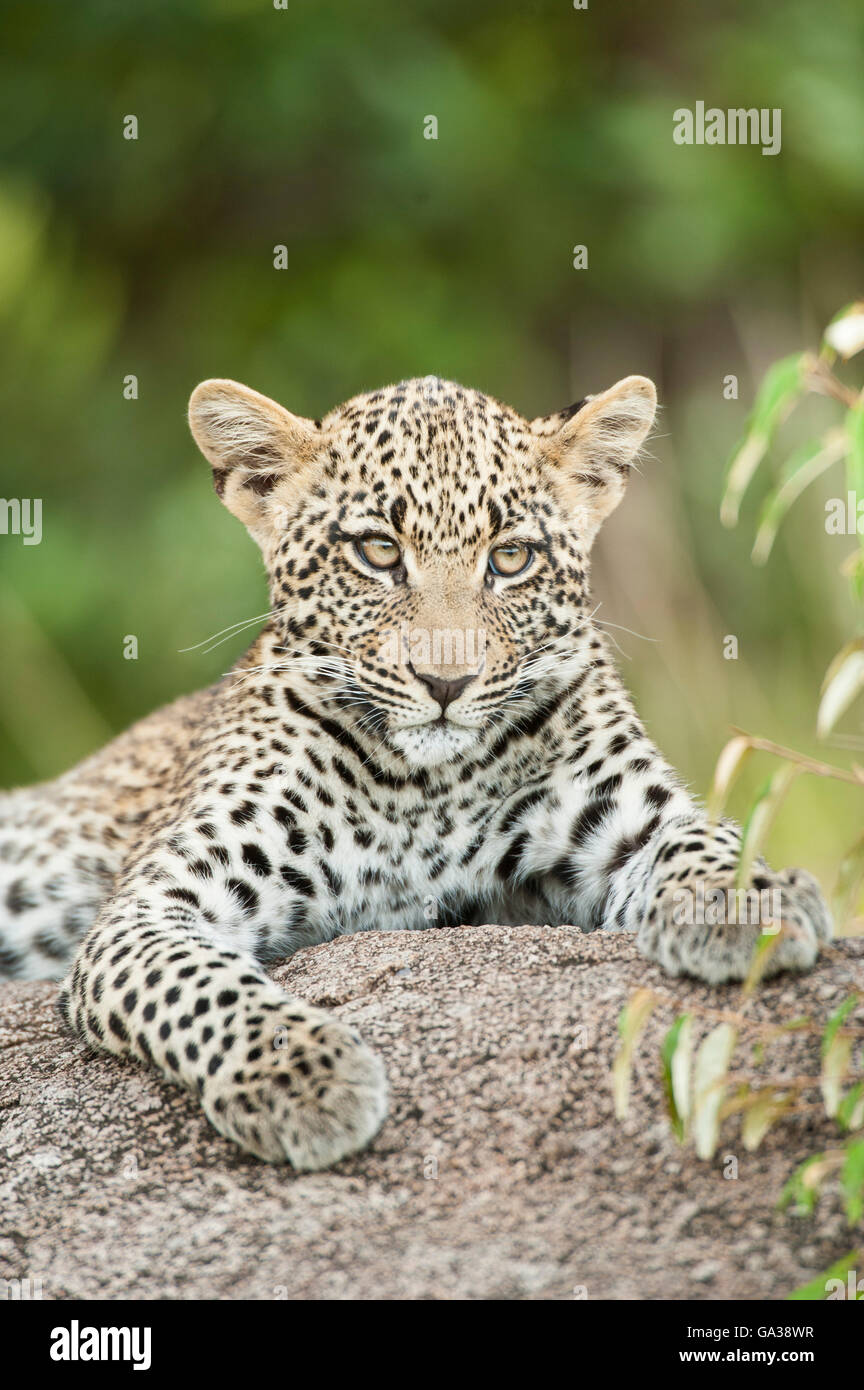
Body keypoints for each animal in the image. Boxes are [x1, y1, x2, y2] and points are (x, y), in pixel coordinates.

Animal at [0, 372, 832, 1169]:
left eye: (510, 558)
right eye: (377, 552)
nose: (445, 683)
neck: (424, 788)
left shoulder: (630, 810)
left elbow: (708, 838)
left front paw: (751, 904)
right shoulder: (153, 905)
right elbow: (201, 986)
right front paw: (303, 1076)